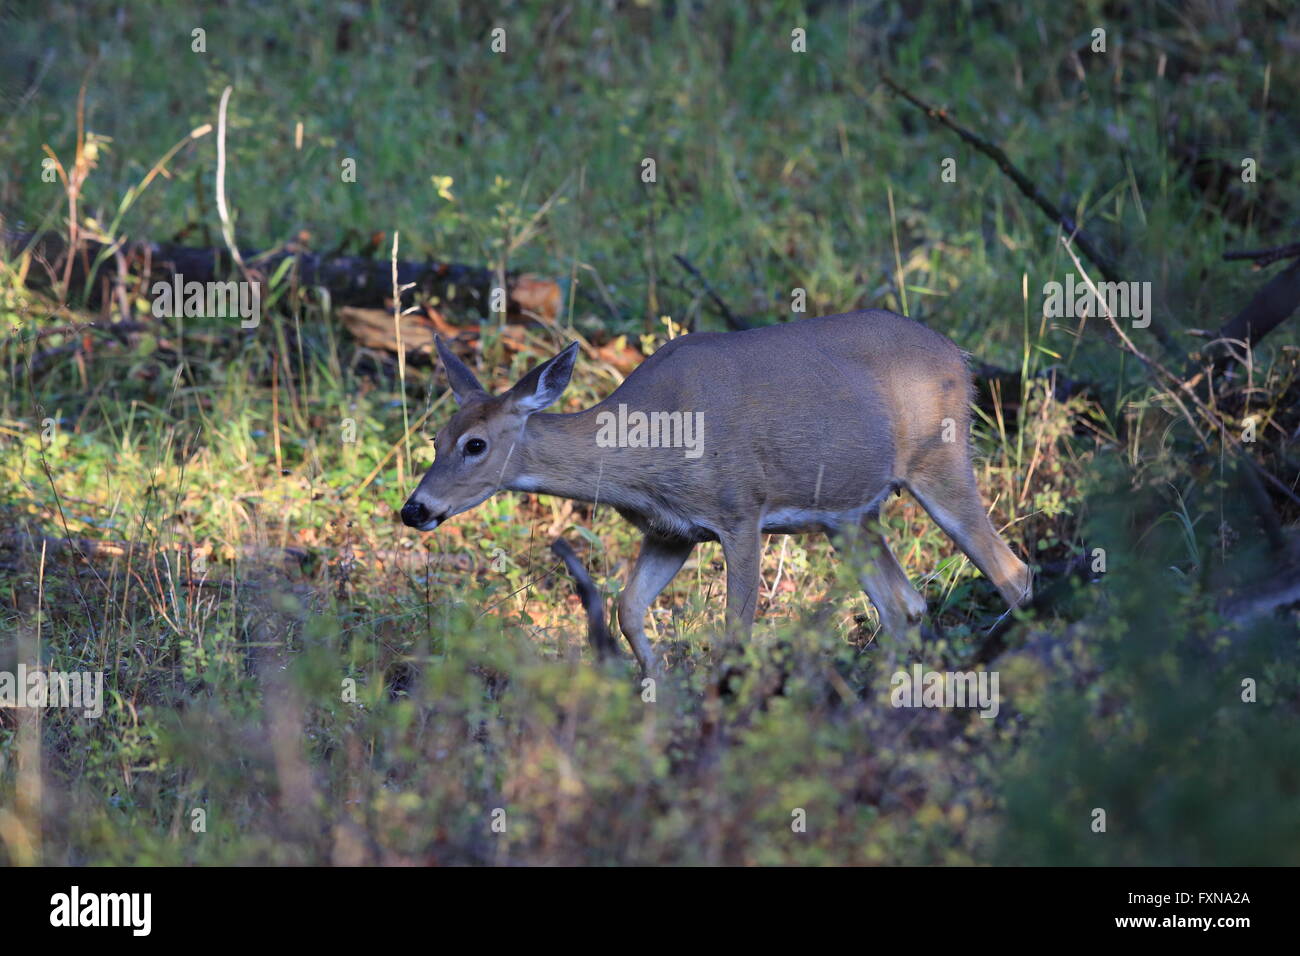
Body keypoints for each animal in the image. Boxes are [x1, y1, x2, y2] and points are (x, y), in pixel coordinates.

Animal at [400, 309, 1032, 675]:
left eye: (476, 444)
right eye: (435, 439)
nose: (415, 508)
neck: (649, 441)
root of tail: (962, 357)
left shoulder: (741, 510)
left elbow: (735, 633)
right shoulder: (671, 531)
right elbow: (628, 609)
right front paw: (660, 695)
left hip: (939, 459)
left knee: (1013, 573)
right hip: (851, 516)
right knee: (906, 605)